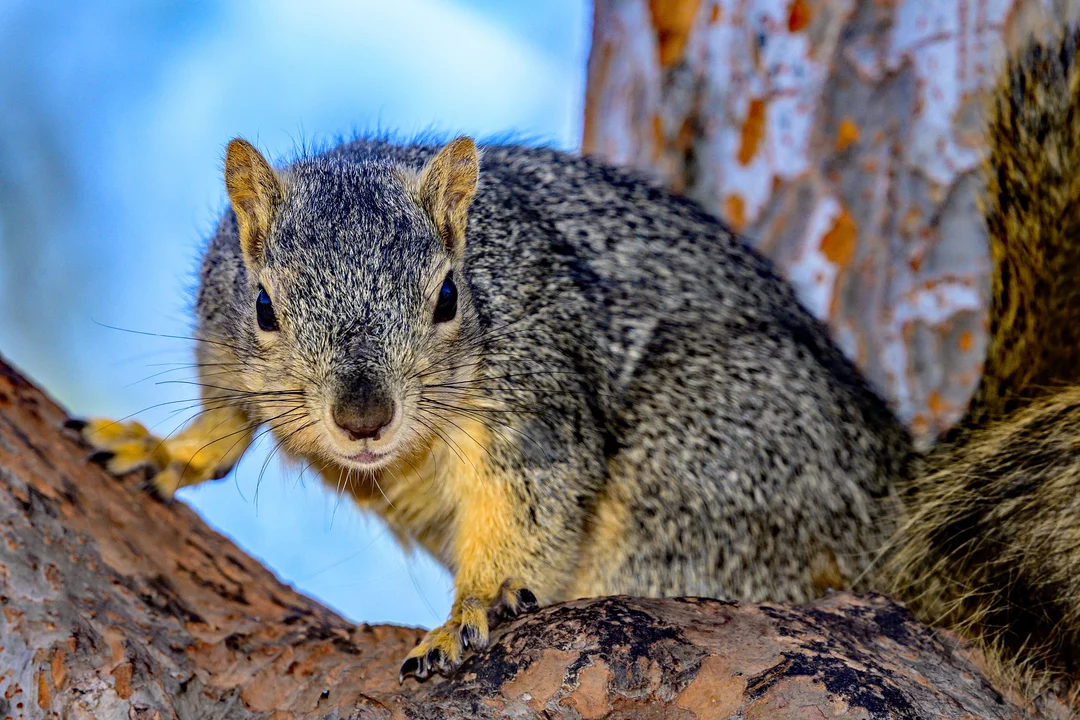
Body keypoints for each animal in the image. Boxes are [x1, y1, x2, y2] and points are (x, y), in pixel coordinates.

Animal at [68, 131, 916, 681]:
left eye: (448, 297)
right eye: (265, 307)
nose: (363, 419)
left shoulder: (536, 397)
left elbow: (526, 507)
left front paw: (470, 609)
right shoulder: (219, 326)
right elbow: (226, 417)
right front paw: (167, 449)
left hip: (712, 456)